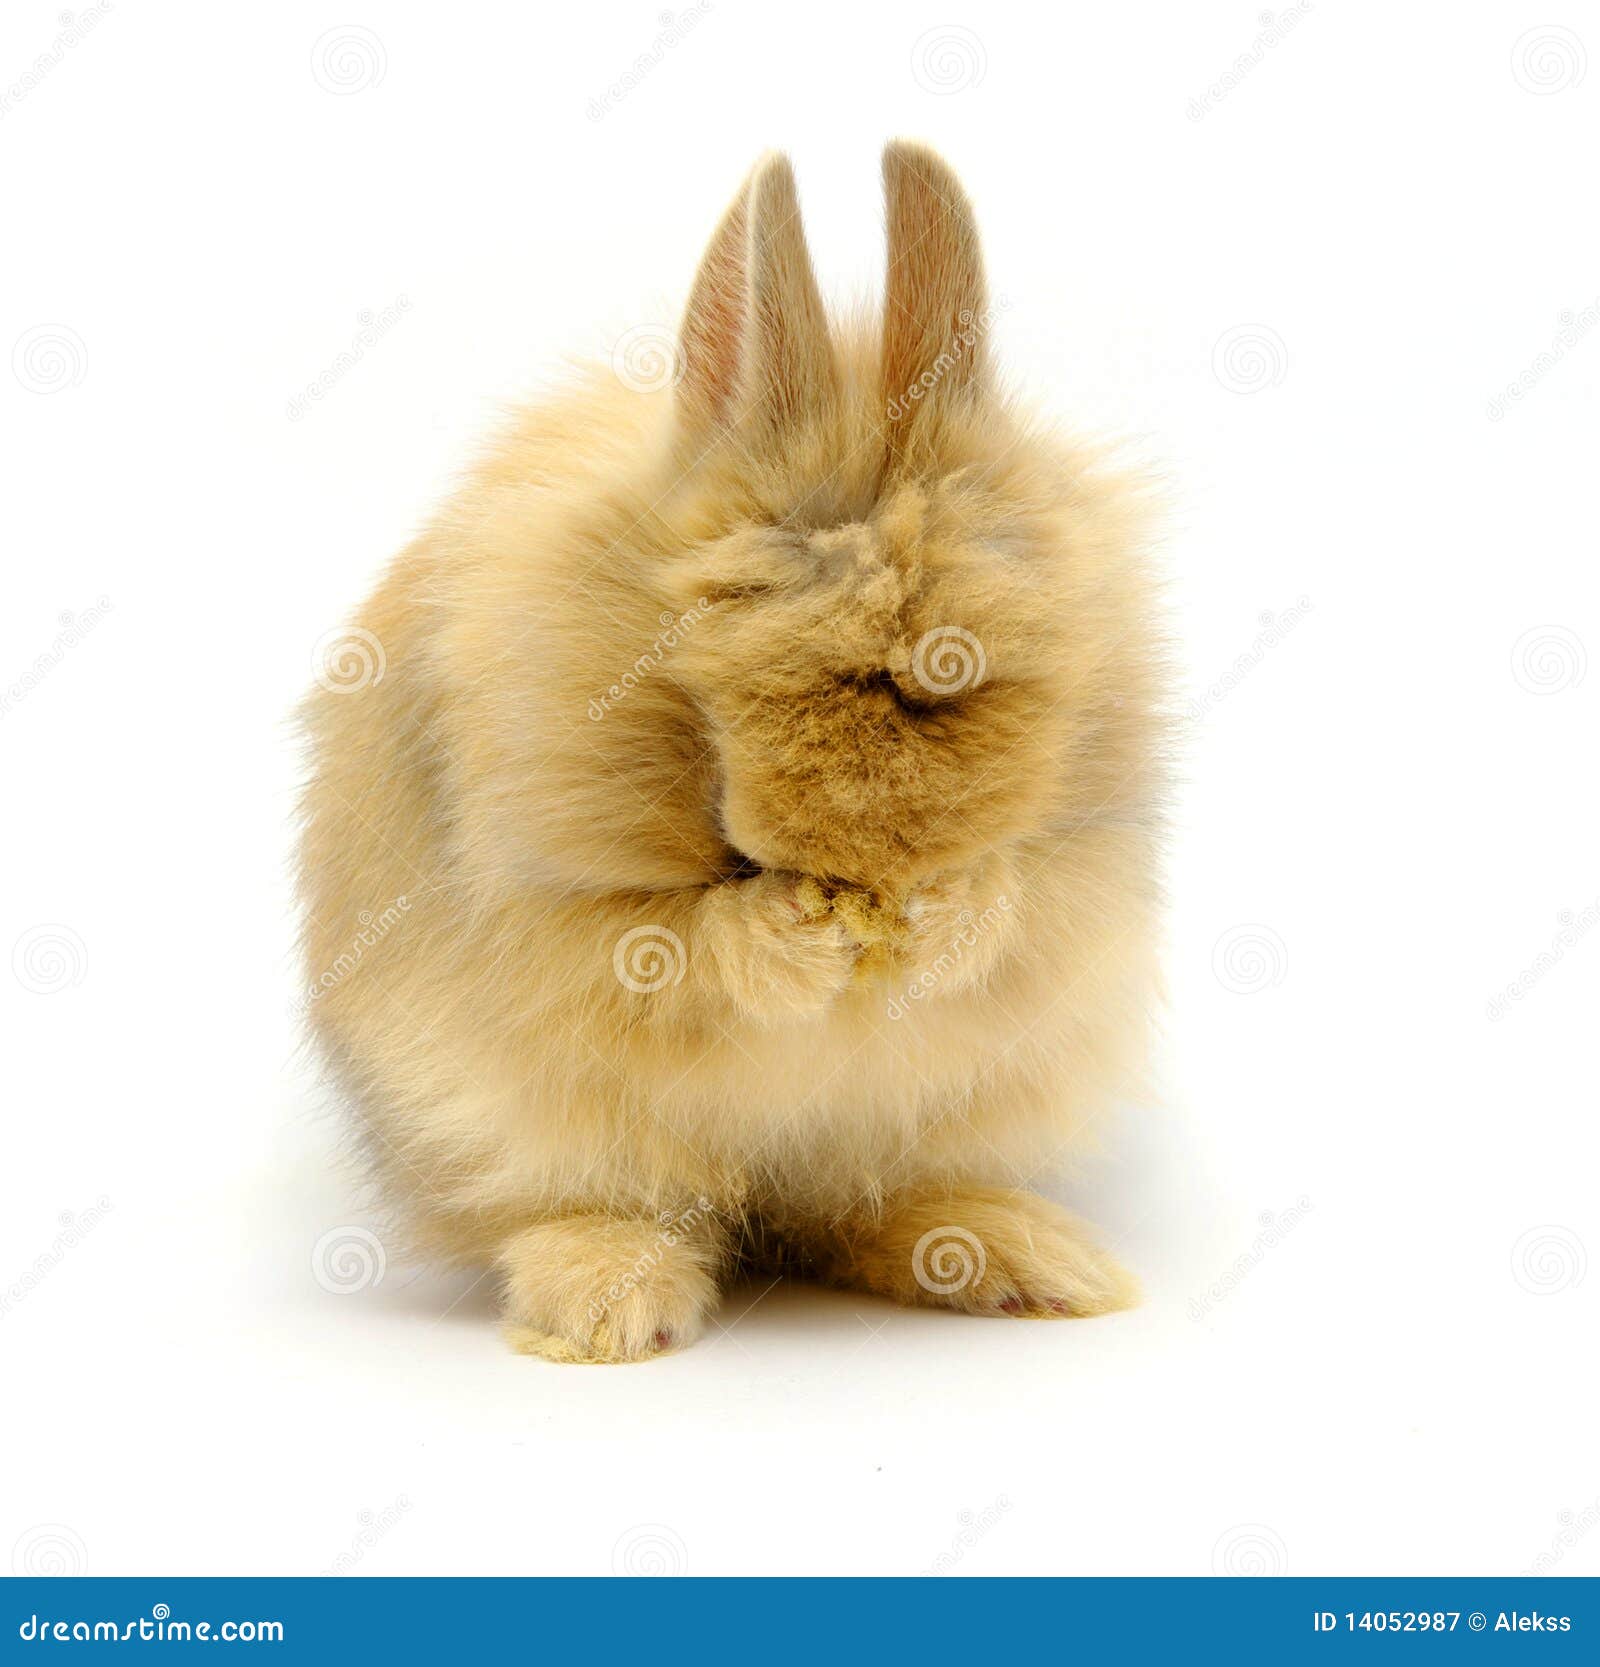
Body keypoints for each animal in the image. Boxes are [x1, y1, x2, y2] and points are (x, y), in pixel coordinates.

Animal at [297, 141, 1166, 1363]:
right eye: (711, 744)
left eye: (988, 675)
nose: (871, 901)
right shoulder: (559, 913)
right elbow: (677, 944)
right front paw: (793, 933)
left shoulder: (1084, 882)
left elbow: (1019, 906)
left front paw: (943, 916)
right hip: (500, 1109)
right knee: (606, 1203)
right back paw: (608, 1306)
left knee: (855, 1207)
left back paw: (1019, 1256)